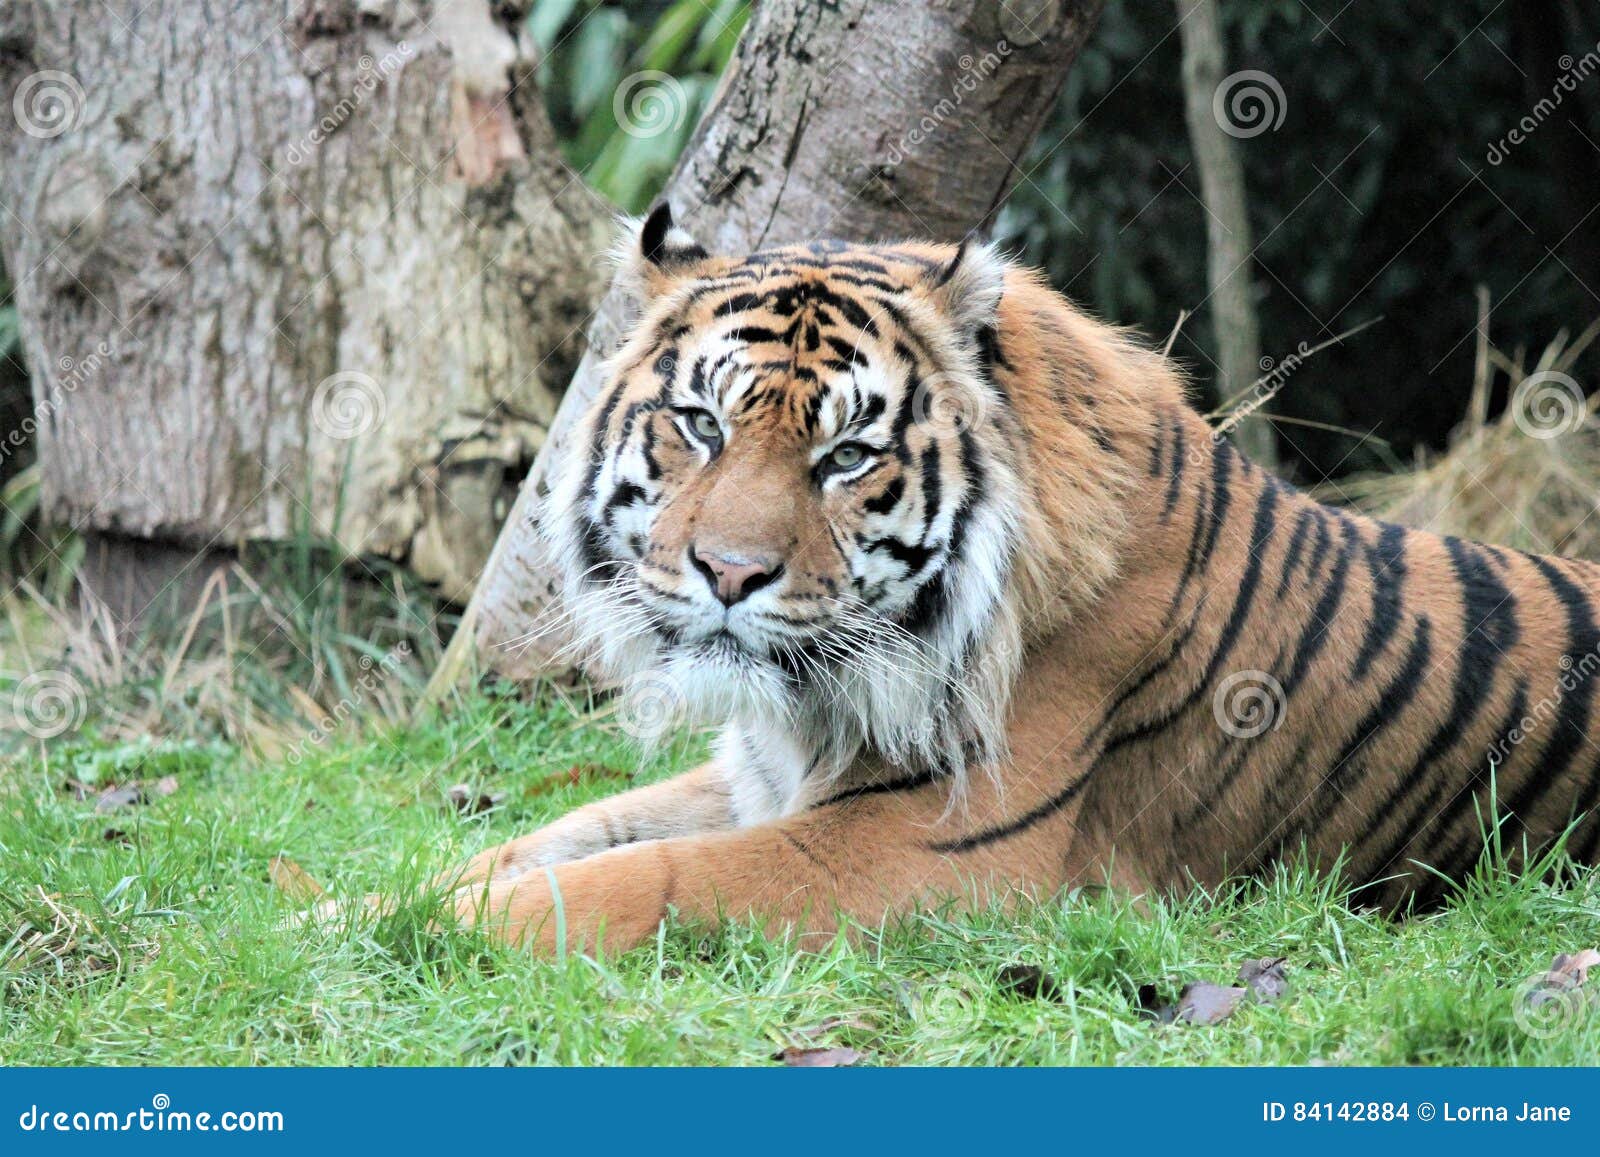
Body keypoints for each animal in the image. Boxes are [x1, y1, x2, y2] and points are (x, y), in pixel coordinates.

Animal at [406, 204, 1600, 954]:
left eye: (846, 456)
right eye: (701, 424)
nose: (730, 573)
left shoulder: (925, 842)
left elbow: (630, 879)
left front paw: (408, 928)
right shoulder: (753, 778)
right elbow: (551, 836)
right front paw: (384, 894)